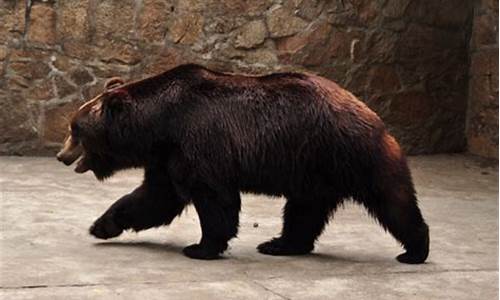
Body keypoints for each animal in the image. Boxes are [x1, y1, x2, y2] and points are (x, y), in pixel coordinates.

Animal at [56, 63, 428, 262]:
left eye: (76, 129)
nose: (61, 155)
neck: (159, 125)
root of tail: (368, 110)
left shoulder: (198, 141)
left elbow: (213, 199)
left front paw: (201, 247)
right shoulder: (166, 157)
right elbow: (154, 198)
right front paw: (102, 224)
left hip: (348, 152)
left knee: (391, 199)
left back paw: (414, 249)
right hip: (313, 167)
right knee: (304, 210)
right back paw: (280, 244)